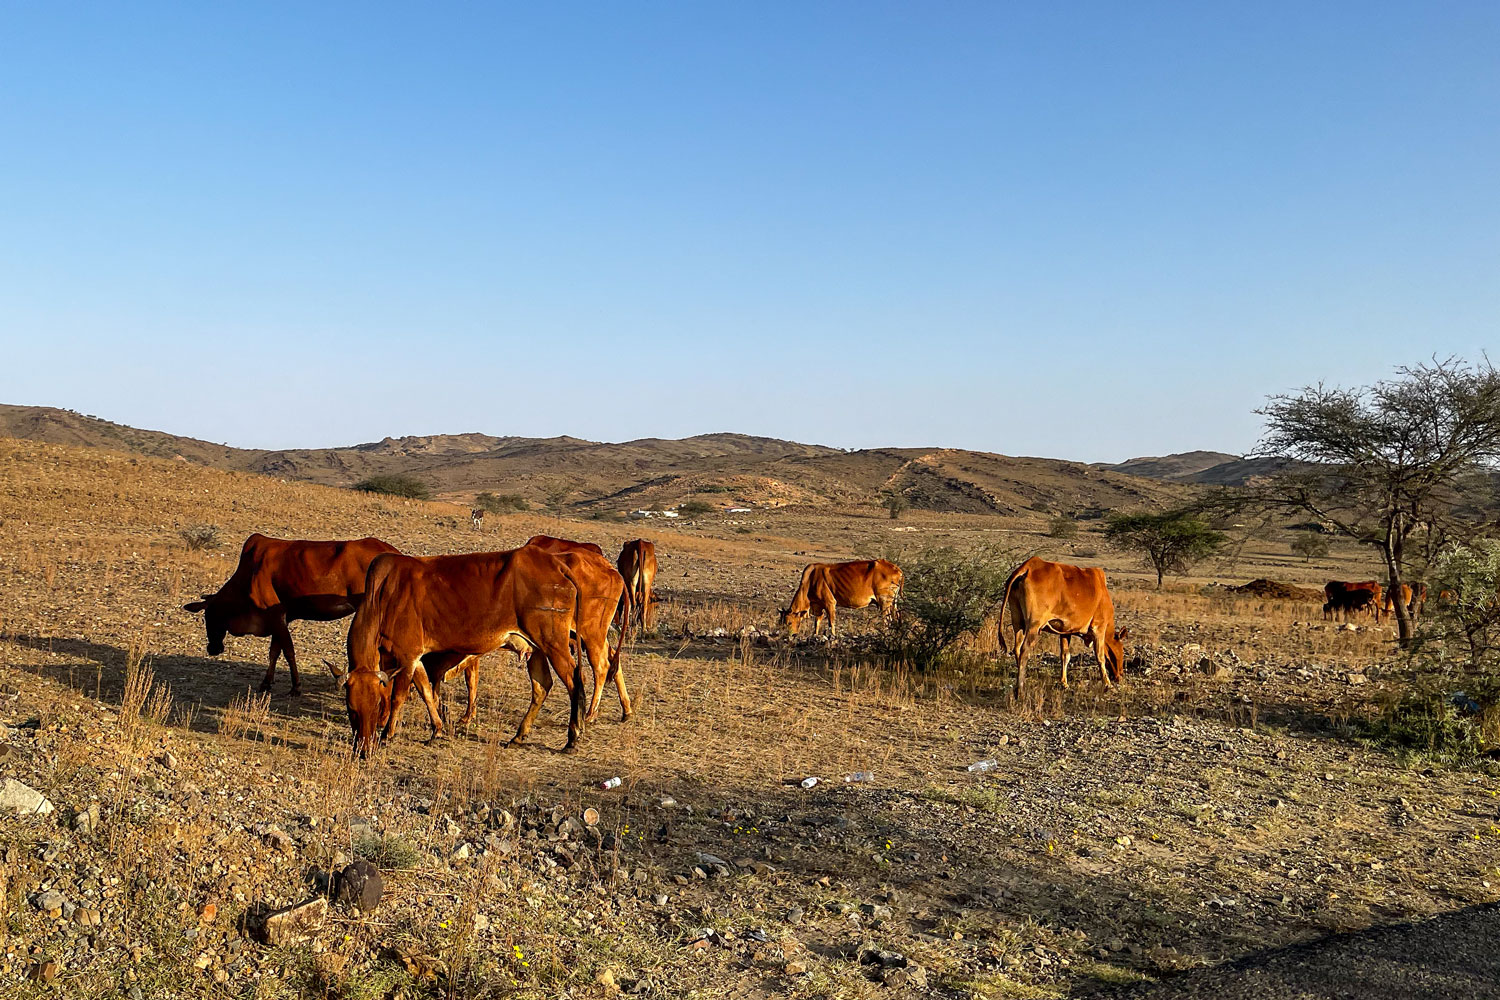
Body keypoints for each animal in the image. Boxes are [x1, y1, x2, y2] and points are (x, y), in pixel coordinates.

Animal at [183, 533, 398, 695]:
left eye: (208, 617)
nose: (213, 649)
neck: (248, 576)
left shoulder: (275, 616)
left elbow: (288, 652)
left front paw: (296, 687)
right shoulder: (281, 619)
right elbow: (274, 652)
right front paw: (266, 683)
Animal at [329, 546, 587, 755]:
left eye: (374, 707)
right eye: (351, 709)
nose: (363, 749)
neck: (382, 597)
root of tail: (557, 565)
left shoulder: (407, 656)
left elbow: (398, 696)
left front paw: (387, 735)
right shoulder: (415, 658)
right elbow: (426, 691)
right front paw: (437, 730)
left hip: (553, 643)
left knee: (574, 681)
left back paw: (572, 739)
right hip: (536, 648)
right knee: (542, 686)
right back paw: (518, 736)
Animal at [1000, 557, 1127, 696]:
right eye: (1121, 649)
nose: (1119, 676)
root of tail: (1029, 565)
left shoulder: (1066, 631)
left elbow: (1065, 656)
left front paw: (1064, 683)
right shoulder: (1099, 627)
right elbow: (1100, 657)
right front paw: (1107, 684)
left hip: (1018, 621)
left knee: (1016, 648)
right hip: (1033, 624)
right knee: (1024, 650)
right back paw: (1020, 689)